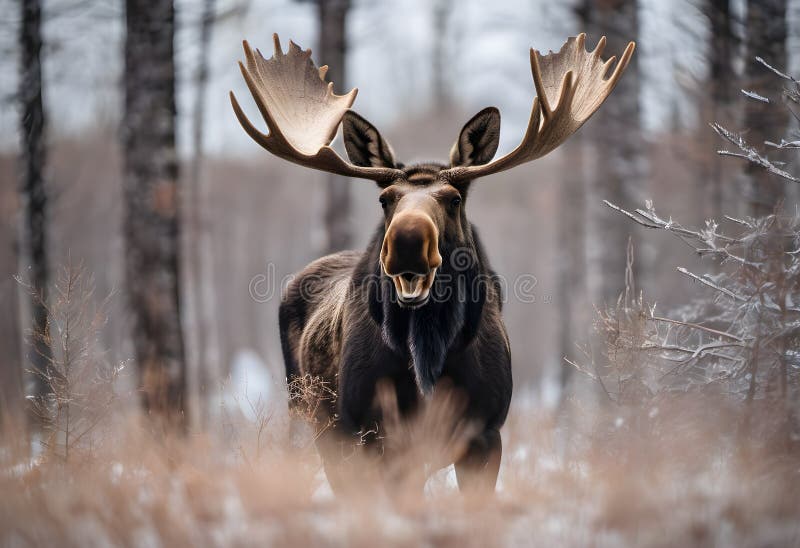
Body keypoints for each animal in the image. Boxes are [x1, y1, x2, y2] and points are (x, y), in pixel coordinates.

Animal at [230, 33, 634, 493]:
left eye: (454, 199)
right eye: (385, 199)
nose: (407, 241)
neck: (428, 354)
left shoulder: (485, 433)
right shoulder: (369, 434)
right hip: (312, 420)